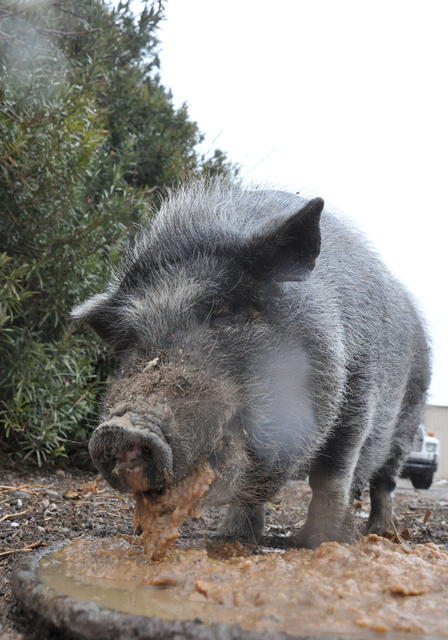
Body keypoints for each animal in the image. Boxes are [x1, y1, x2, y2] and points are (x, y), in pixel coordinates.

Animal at [72, 178, 430, 549]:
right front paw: (233, 536)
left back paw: (381, 532)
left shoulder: (357, 399)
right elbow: (248, 491)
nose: (119, 430)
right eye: (130, 338)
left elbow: (330, 477)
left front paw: (320, 542)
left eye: (223, 309)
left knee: (384, 482)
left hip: (408, 422)